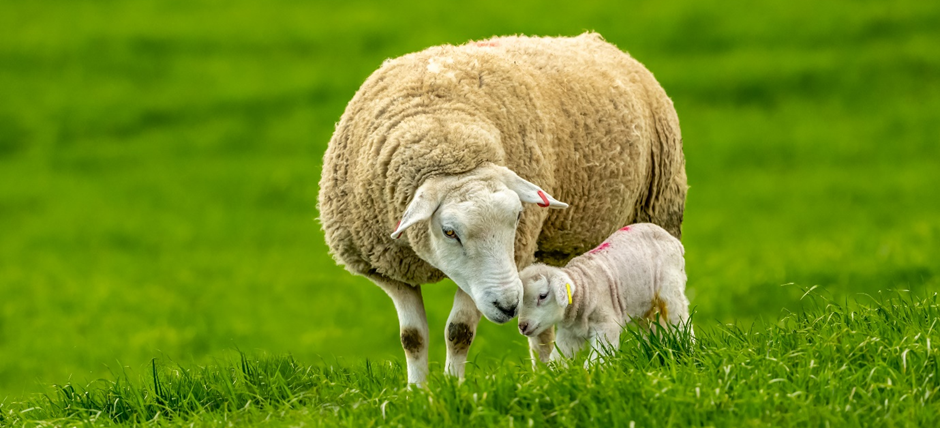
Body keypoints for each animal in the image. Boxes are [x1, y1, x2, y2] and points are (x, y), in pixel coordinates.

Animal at [517, 223, 693, 364]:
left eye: (543, 296)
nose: (522, 326)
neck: (584, 288)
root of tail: (673, 240)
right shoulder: (569, 335)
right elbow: (558, 358)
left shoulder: (607, 325)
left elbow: (597, 359)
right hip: (645, 303)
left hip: (671, 289)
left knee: (680, 320)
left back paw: (686, 349)